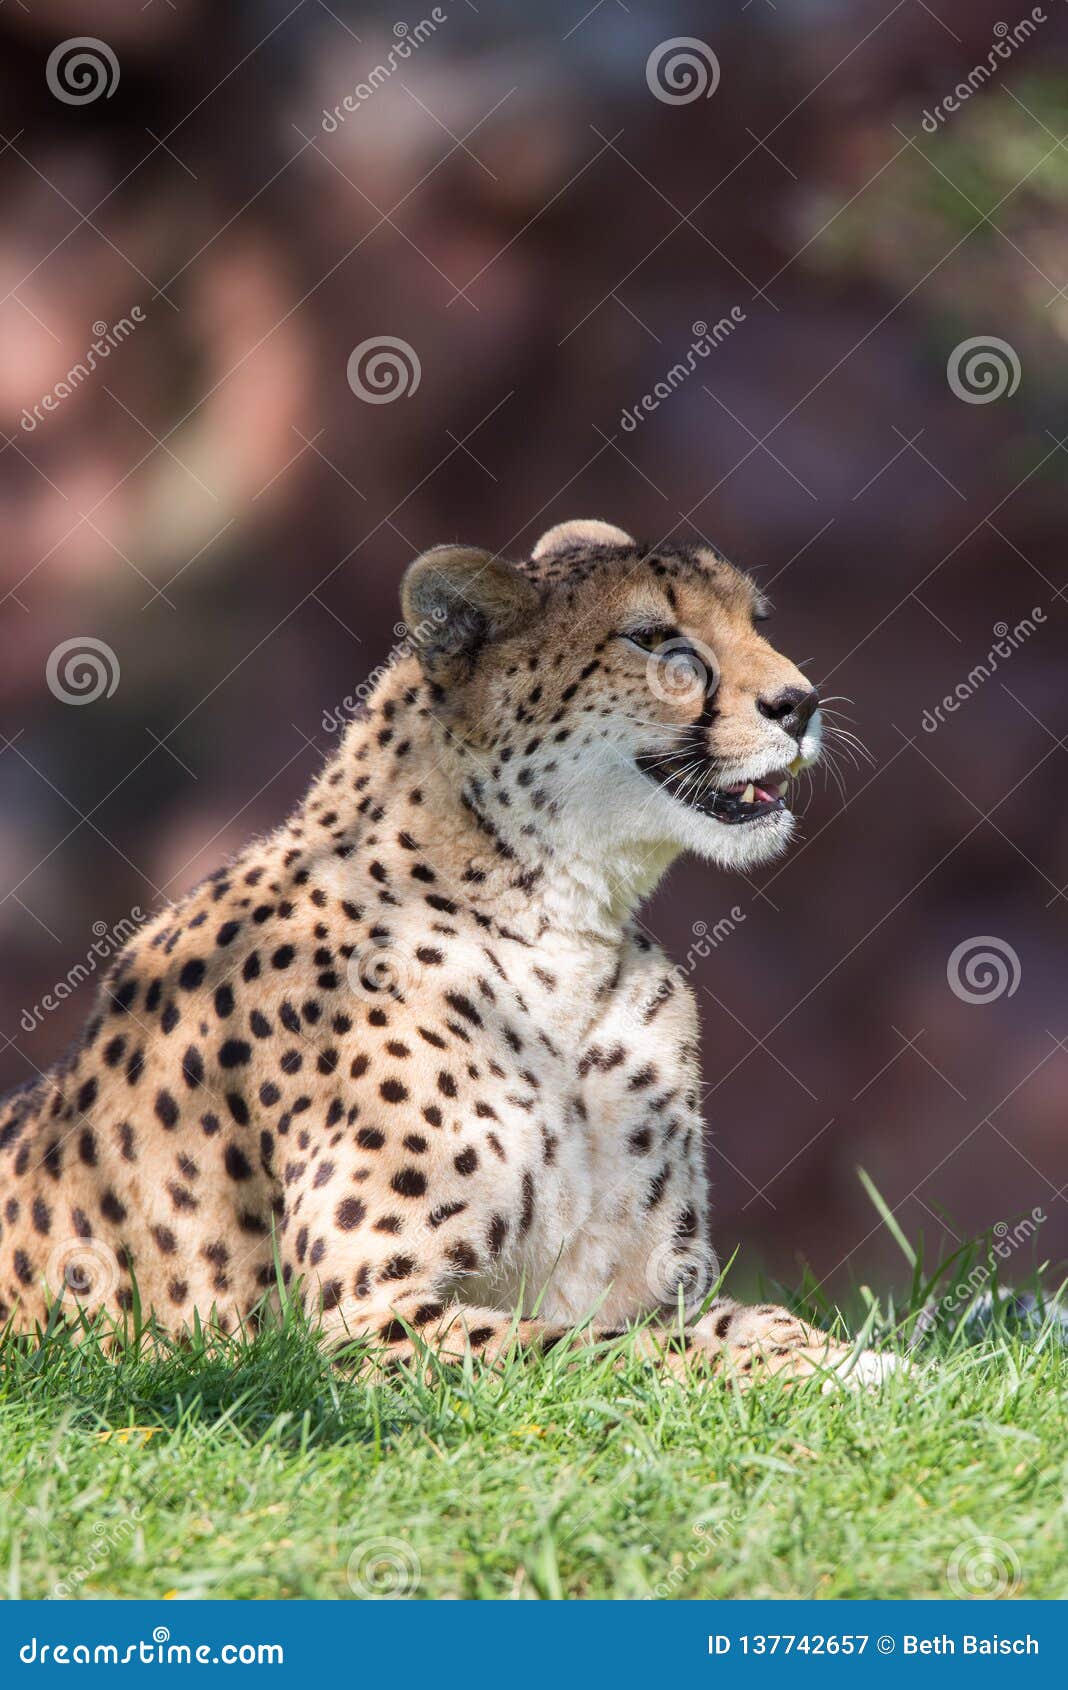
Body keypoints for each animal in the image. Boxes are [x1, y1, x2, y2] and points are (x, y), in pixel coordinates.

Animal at [0, 518, 897, 1388]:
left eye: (758, 620)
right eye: (653, 638)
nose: (800, 703)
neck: (559, 929)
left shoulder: (645, 1281)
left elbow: (744, 1318)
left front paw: (862, 1360)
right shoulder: (354, 1322)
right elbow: (605, 1352)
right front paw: (806, 1372)